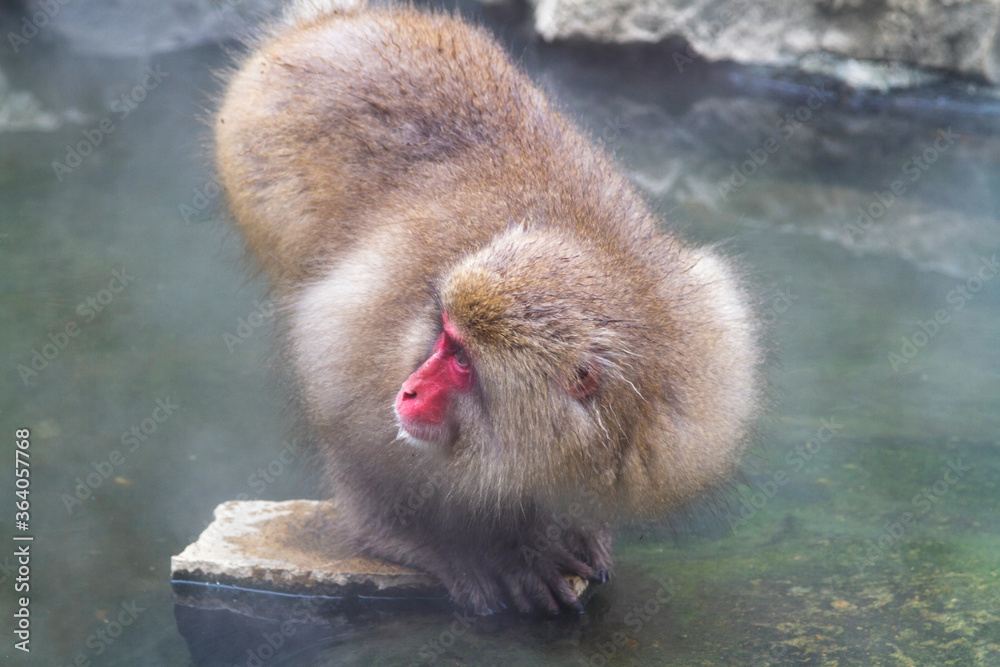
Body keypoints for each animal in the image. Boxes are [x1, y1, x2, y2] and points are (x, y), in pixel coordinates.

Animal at [214, 0, 762, 615]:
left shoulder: (692, 399)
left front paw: (568, 528)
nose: (409, 390)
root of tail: (336, 21)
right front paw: (469, 549)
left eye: (460, 361)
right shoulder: (360, 349)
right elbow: (357, 444)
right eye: (444, 338)